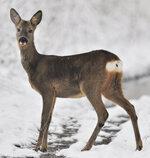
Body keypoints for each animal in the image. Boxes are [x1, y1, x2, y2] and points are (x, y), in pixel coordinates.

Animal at [9, 8, 142, 152]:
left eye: (30, 30)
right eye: (18, 29)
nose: (23, 39)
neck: (35, 65)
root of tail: (114, 61)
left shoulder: (47, 89)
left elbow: (43, 118)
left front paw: (37, 148)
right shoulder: (54, 94)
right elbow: (49, 119)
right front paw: (44, 147)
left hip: (90, 85)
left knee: (103, 113)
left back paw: (86, 147)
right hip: (112, 86)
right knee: (130, 107)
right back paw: (139, 146)